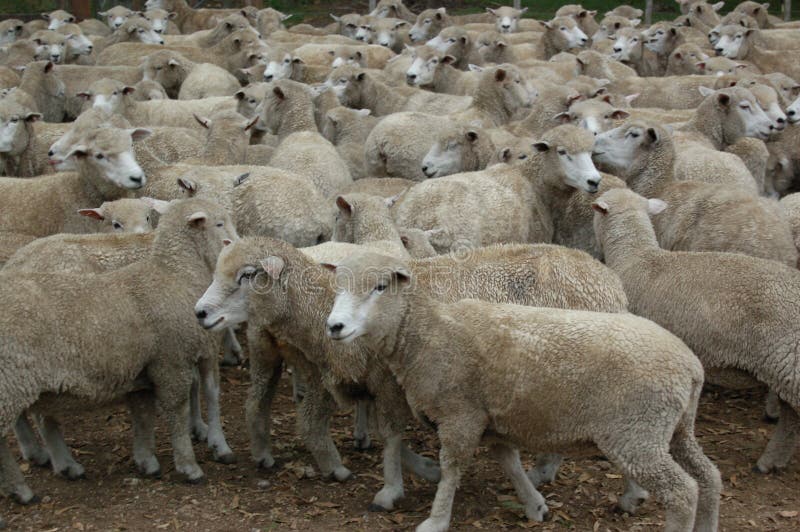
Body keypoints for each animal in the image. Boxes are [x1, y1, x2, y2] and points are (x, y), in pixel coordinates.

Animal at [322, 250, 719, 532]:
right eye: (337, 288)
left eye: (380, 287)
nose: (334, 326)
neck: (427, 330)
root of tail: (691, 366)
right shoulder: (492, 417)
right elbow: (508, 461)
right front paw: (534, 503)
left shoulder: (460, 415)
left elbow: (451, 468)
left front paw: (435, 519)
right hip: (672, 429)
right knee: (709, 476)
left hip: (638, 432)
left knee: (682, 492)